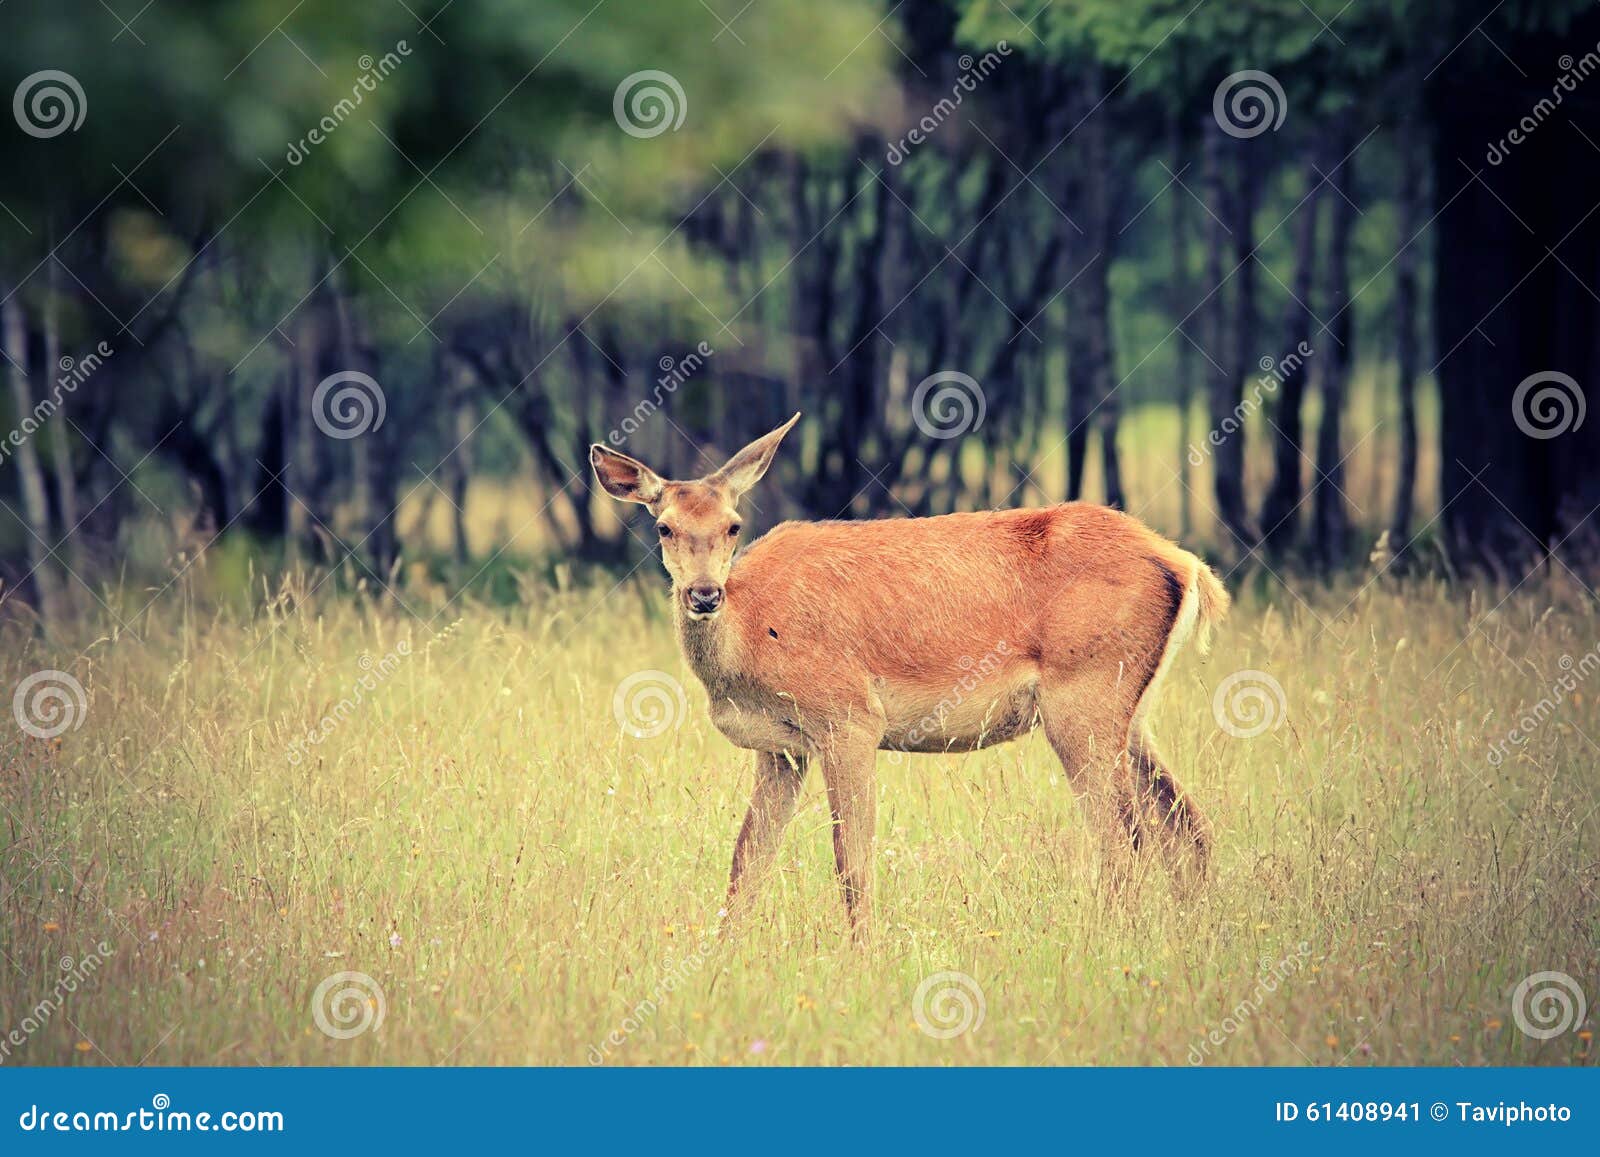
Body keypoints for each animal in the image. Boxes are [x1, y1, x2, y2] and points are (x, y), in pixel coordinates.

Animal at [591, 413, 1229, 938]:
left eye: (733, 525)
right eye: (664, 527)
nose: (704, 594)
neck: (748, 639)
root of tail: (1185, 564)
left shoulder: (848, 717)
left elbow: (851, 859)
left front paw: (861, 955)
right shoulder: (781, 748)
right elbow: (747, 861)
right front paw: (722, 956)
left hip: (1083, 696)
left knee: (1124, 835)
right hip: (1129, 712)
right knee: (1187, 827)